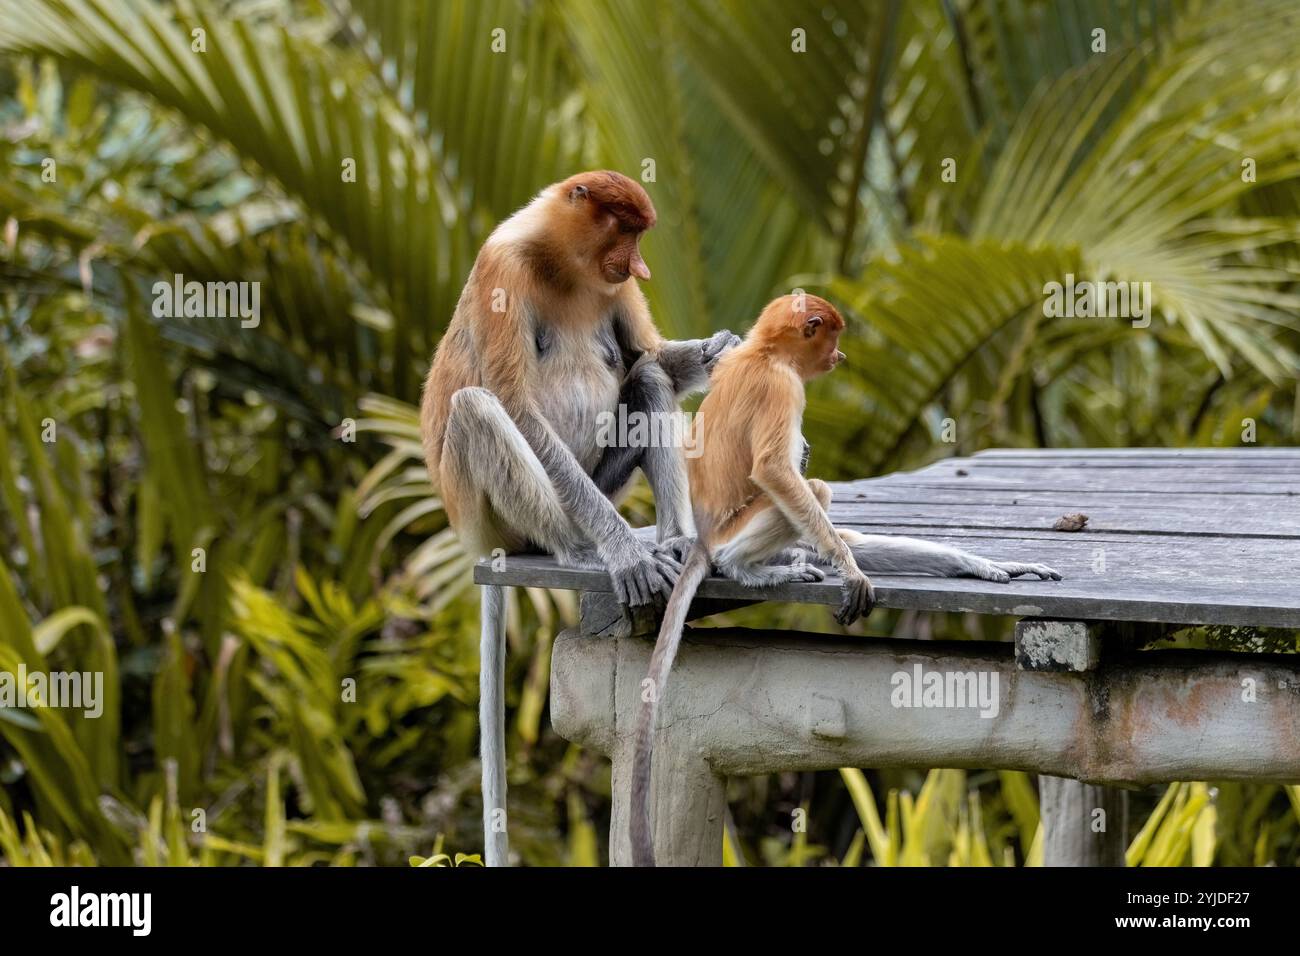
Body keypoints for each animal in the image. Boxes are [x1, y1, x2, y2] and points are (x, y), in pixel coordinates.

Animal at [419, 170, 739, 866]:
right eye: (627, 229)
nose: (639, 268)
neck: (560, 263)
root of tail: (475, 541)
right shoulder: (502, 268)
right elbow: (516, 403)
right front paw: (622, 554)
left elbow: (649, 356)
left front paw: (721, 348)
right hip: (497, 513)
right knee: (478, 405)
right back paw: (582, 550)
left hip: (602, 475)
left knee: (646, 378)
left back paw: (676, 543)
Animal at [629, 293, 1061, 866]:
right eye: (832, 336)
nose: (840, 355)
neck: (765, 351)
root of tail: (701, 537)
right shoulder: (782, 387)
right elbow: (776, 470)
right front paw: (850, 573)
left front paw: (994, 566)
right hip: (732, 530)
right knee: (809, 488)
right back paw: (749, 566)